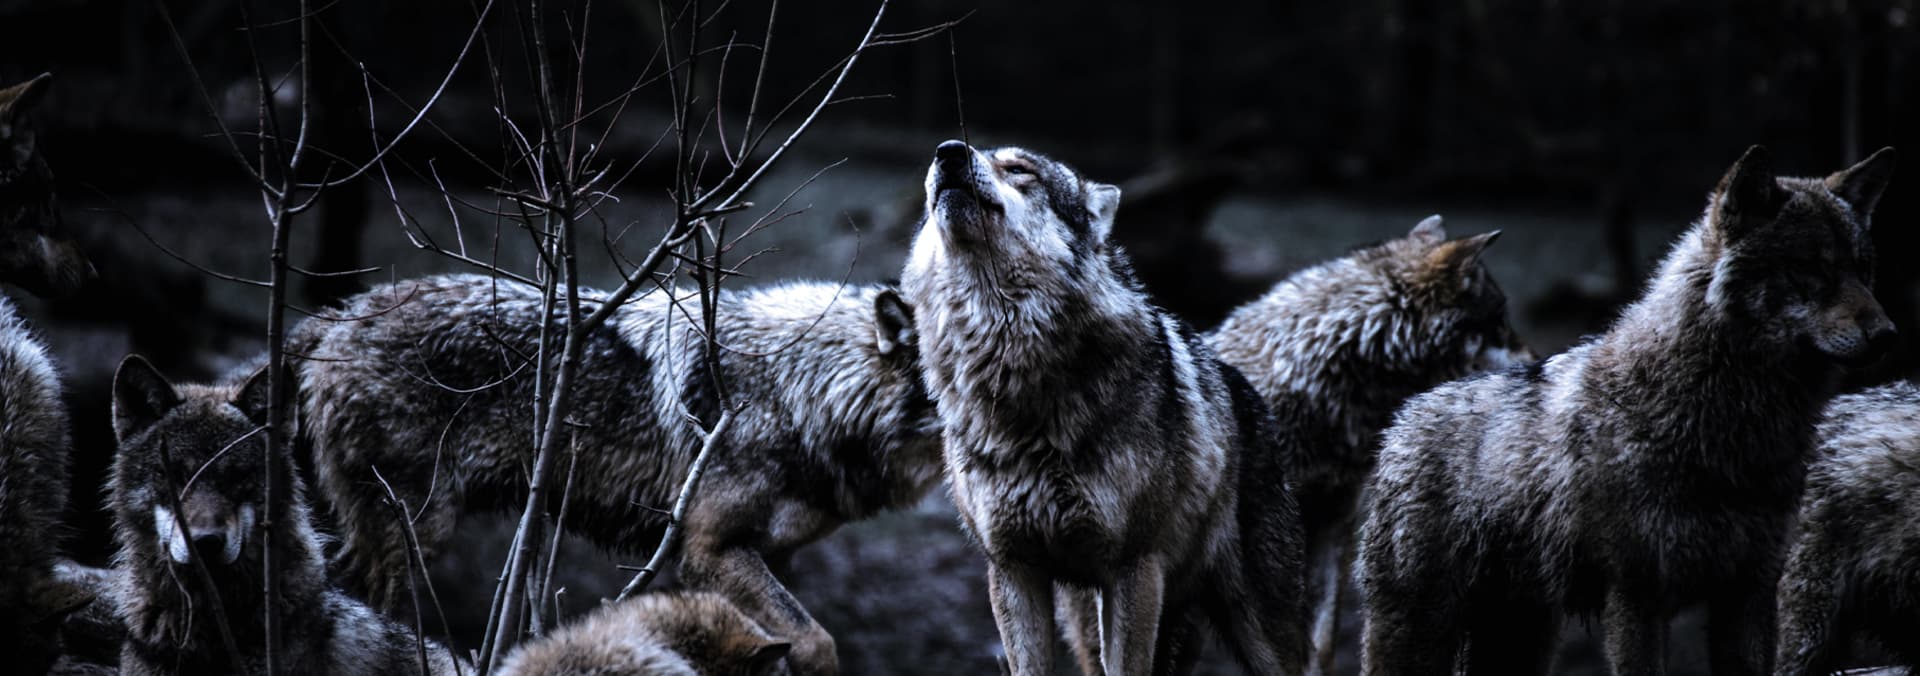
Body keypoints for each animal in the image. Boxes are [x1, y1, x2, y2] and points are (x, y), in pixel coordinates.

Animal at [900, 140, 1307, 675]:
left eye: (1020, 170)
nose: (948, 151)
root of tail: (1242, 387)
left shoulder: (1134, 569)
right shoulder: (1012, 569)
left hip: (1258, 633)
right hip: (1091, 622)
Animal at [1357, 145, 1898, 675]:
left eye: (1864, 269)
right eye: (1811, 269)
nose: (1887, 335)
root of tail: (1408, 413)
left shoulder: (1748, 592)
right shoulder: (1638, 597)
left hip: (1520, 635)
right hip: (1421, 633)